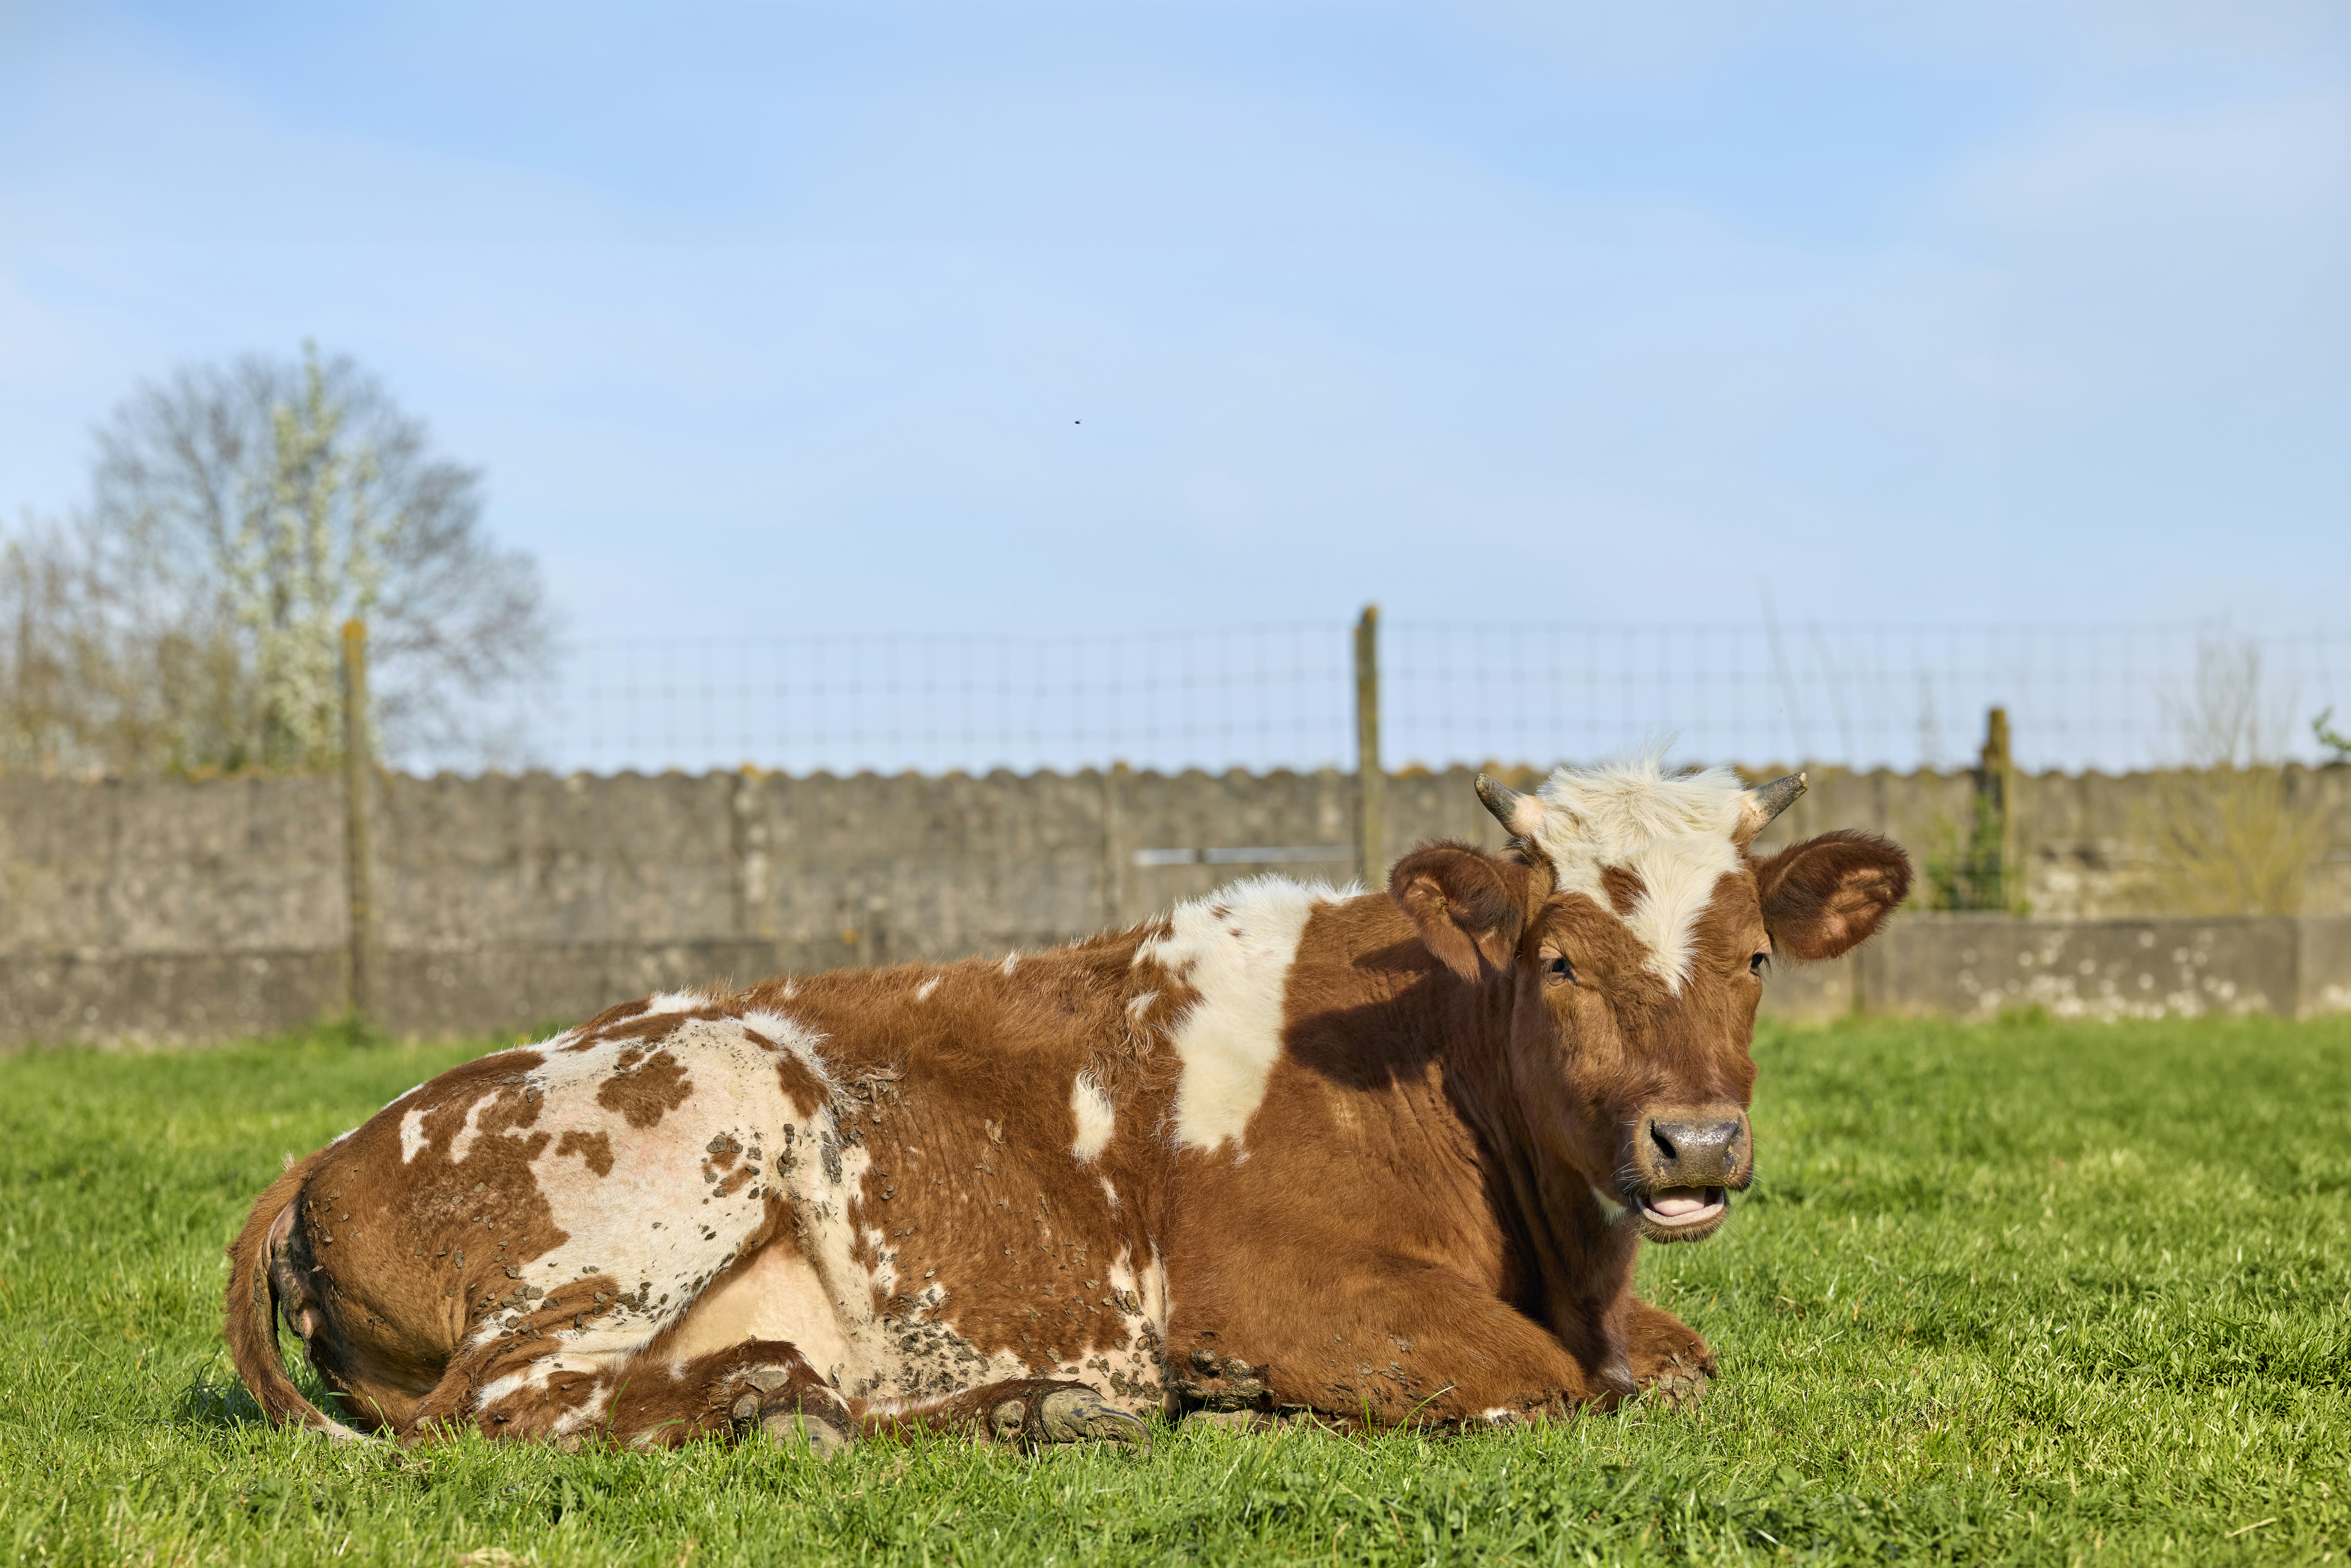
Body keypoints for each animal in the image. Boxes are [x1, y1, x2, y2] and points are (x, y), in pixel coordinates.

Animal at [226, 758, 1909, 1450]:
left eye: (1755, 954)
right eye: (1558, 958)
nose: (1696, 1141)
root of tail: (333, 1140)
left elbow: (1679, 1366)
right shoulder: (1273, 1278)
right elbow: (1538, 1381)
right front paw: (1256, 1389)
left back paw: (1015, 1406)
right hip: (700, 1117)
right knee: (505, 1407)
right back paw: (769, 1403)